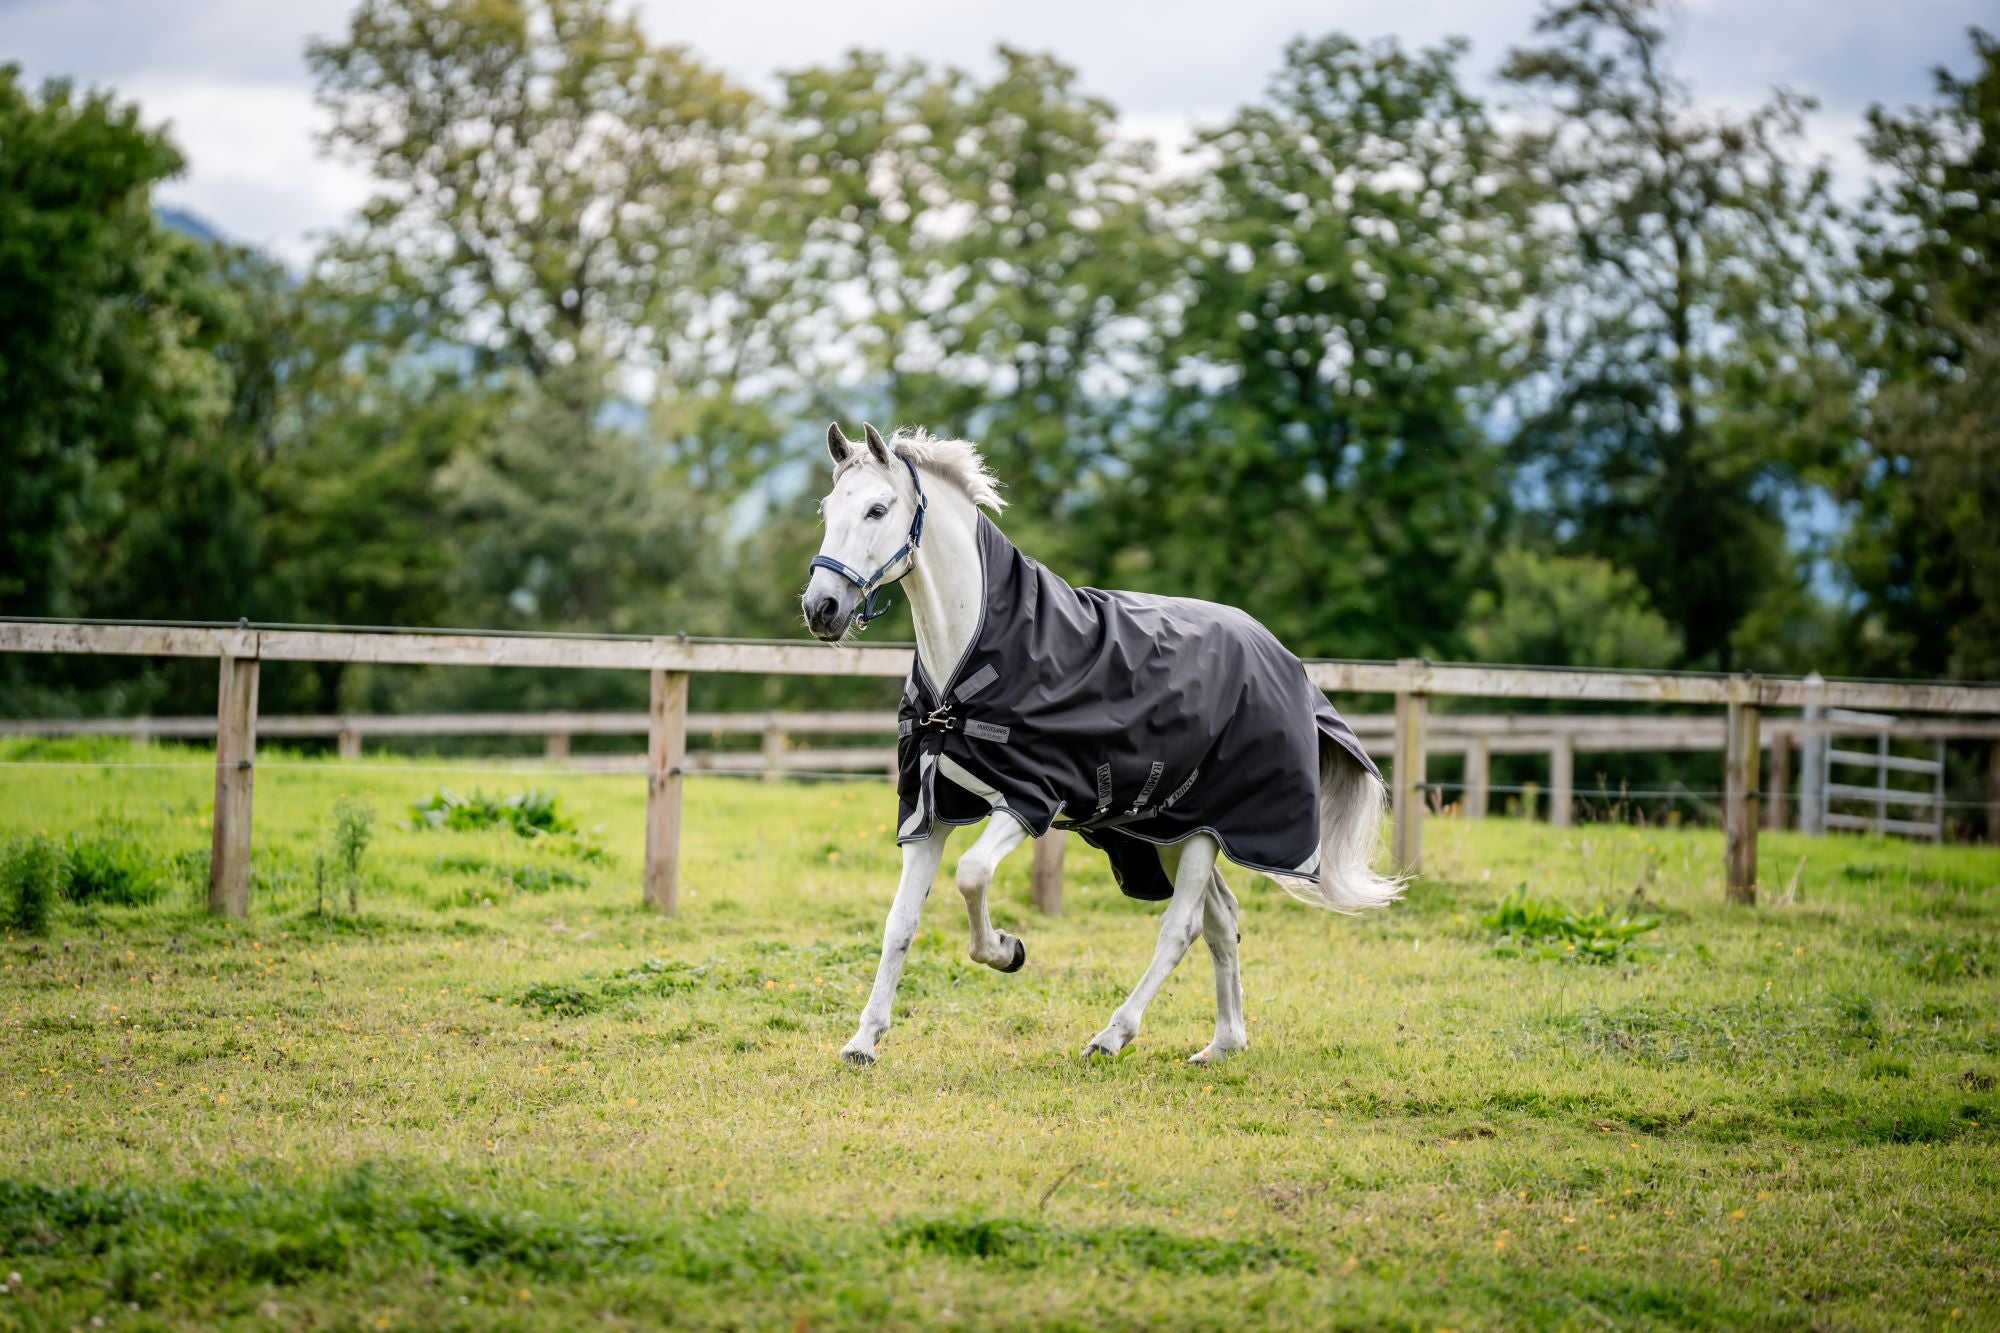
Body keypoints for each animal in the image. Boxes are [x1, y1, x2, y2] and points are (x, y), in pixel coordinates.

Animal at [802, 422, 1400, 1066]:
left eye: (877, 509)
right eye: (827, 509)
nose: (821, 608)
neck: (969, 669)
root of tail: (1285, 659)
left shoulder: (1028, 799)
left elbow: (972, 875)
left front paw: (1007, 950)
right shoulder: (928, 811)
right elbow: (900, 922)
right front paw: (863, 1041)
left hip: (1206, 830)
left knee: (1183, 928)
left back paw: (1113, 1035)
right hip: (1170, 830)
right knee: (1221, 920)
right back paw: (1222, 1044)